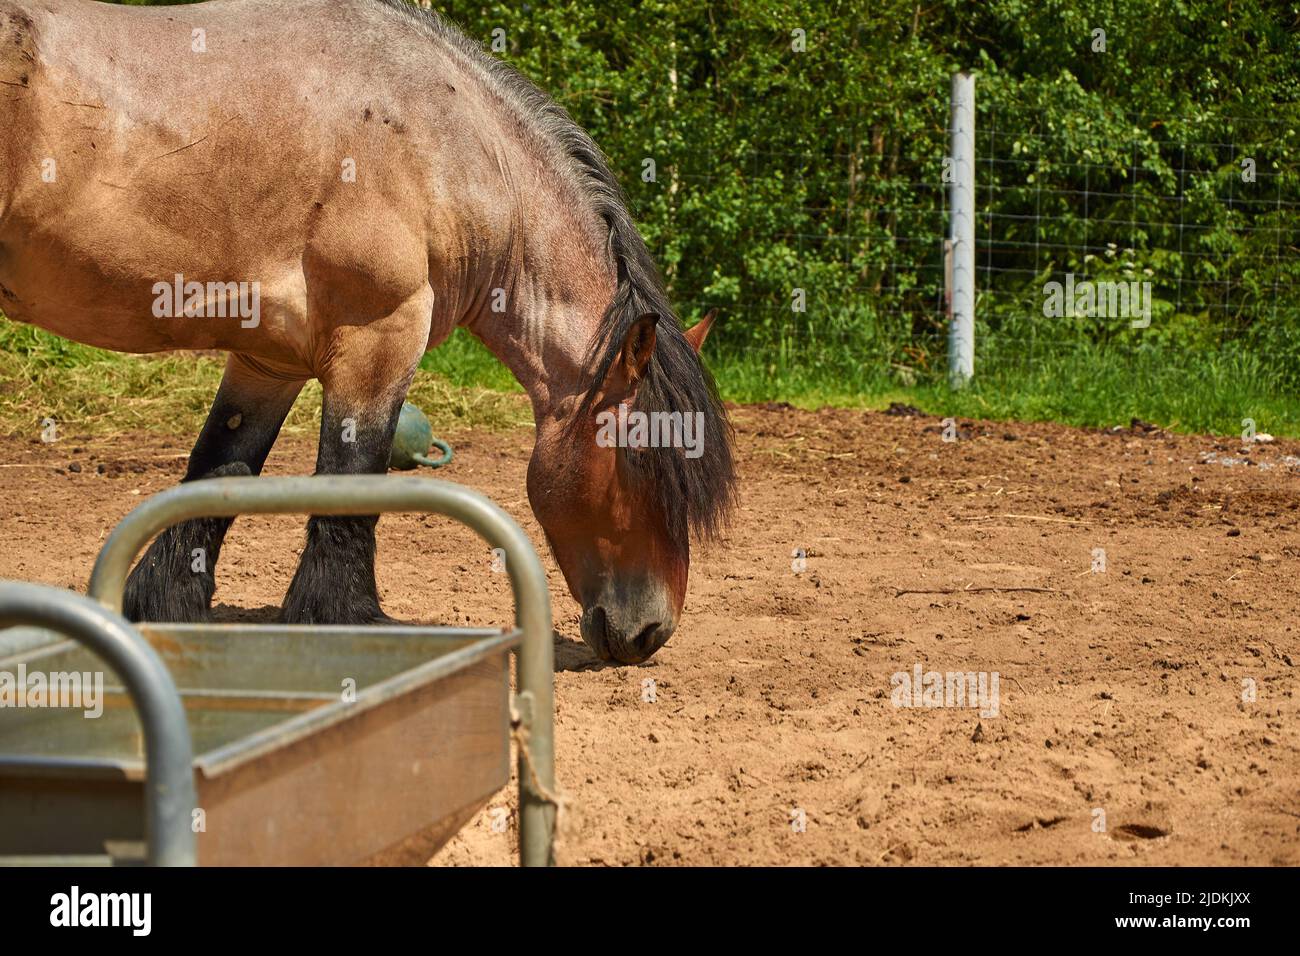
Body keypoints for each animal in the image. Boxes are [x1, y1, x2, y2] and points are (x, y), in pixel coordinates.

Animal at [0, 0, 736, 664]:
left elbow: (219, 472)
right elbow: (351, 481)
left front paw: (163, 607)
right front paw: (343, 619)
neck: (446, 142)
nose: (649, 633)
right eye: (641, 457)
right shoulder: (380, 336)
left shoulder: (267, 362)